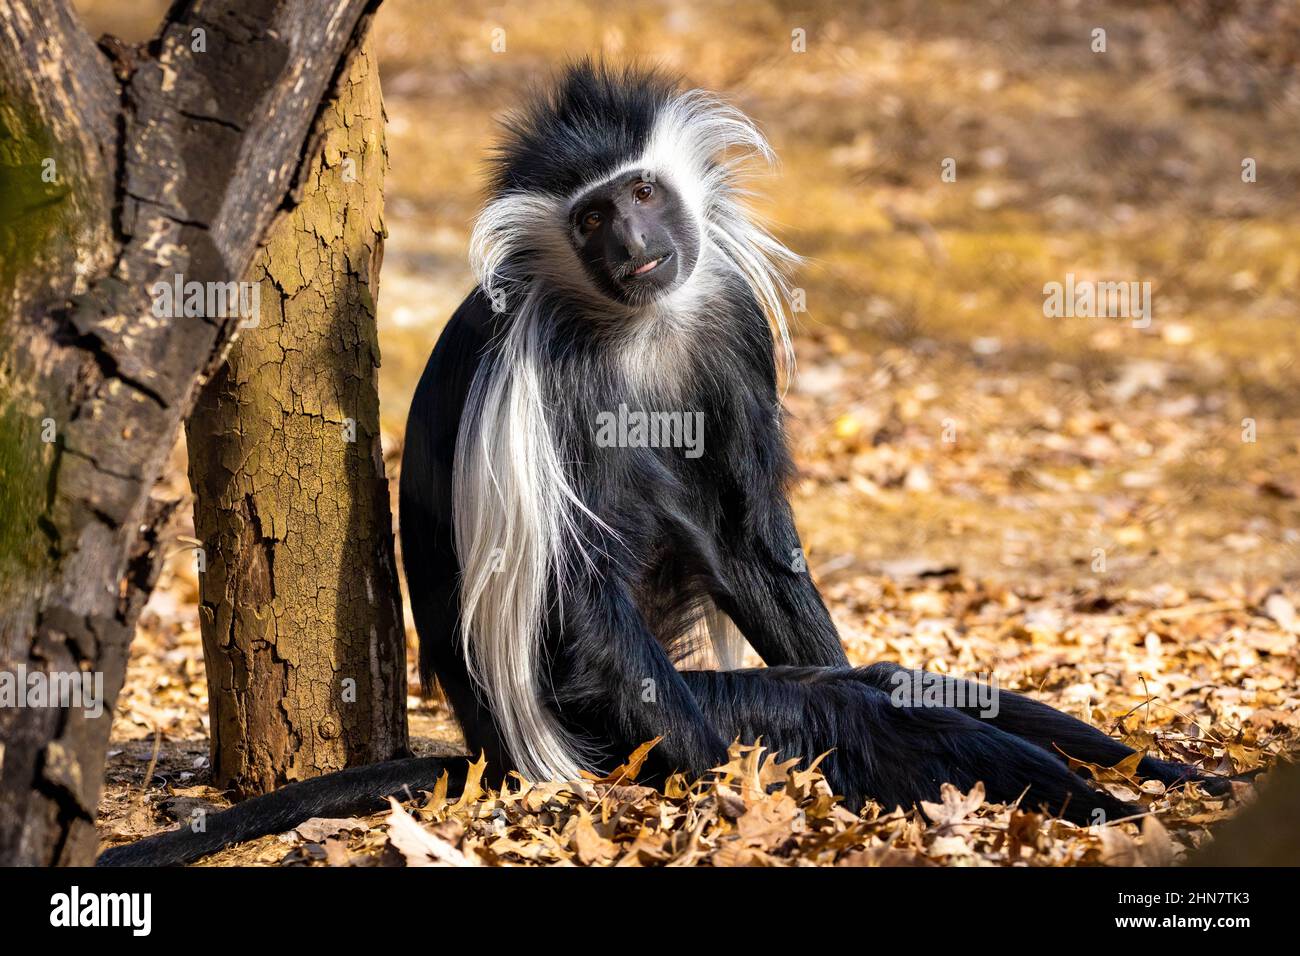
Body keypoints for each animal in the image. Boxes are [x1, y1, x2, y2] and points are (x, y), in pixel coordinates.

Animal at [99, 61, 1226, 866]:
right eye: (592, 216)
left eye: (642, 191)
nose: (634, 239)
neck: (633, 323)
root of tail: (497, 743)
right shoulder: (548, 383)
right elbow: (587, 611)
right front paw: (730, 791)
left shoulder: (724, 321)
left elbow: (751, 537)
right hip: (604, 727)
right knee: (843, 711)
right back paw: (1100, 804)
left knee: (898, 684)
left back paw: (1173, 777)